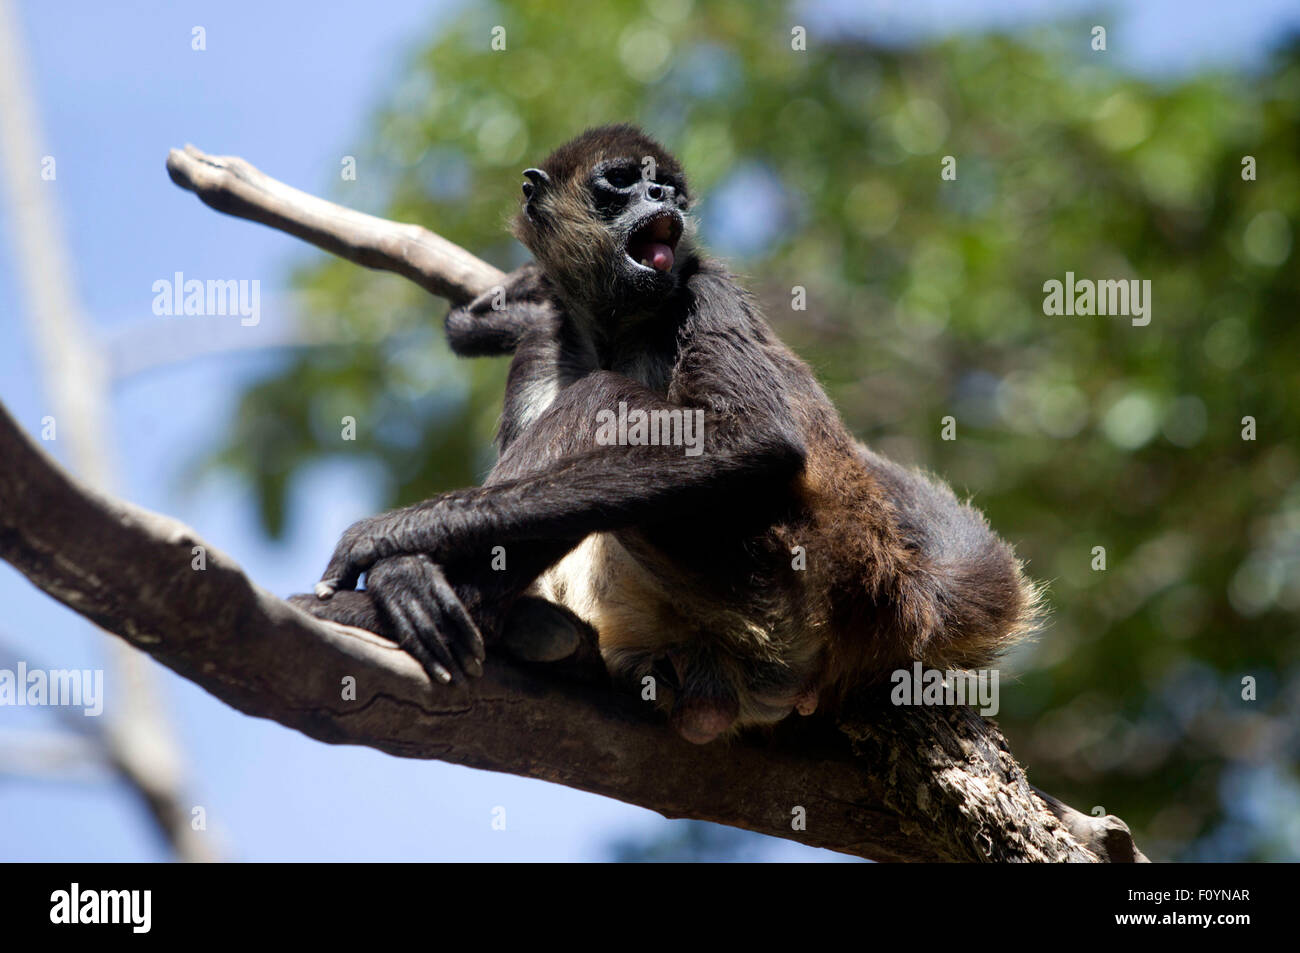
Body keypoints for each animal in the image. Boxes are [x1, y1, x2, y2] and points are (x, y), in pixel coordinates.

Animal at [291, 124, 1041, 744]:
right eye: (622, 181)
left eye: (669, 188)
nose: (659, 197)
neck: (617, 329)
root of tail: (888, 587)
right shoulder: (548, 340)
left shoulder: (705, 287)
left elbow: (758, 442)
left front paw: (394, 542)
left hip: (773, 578)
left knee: (598, 399)